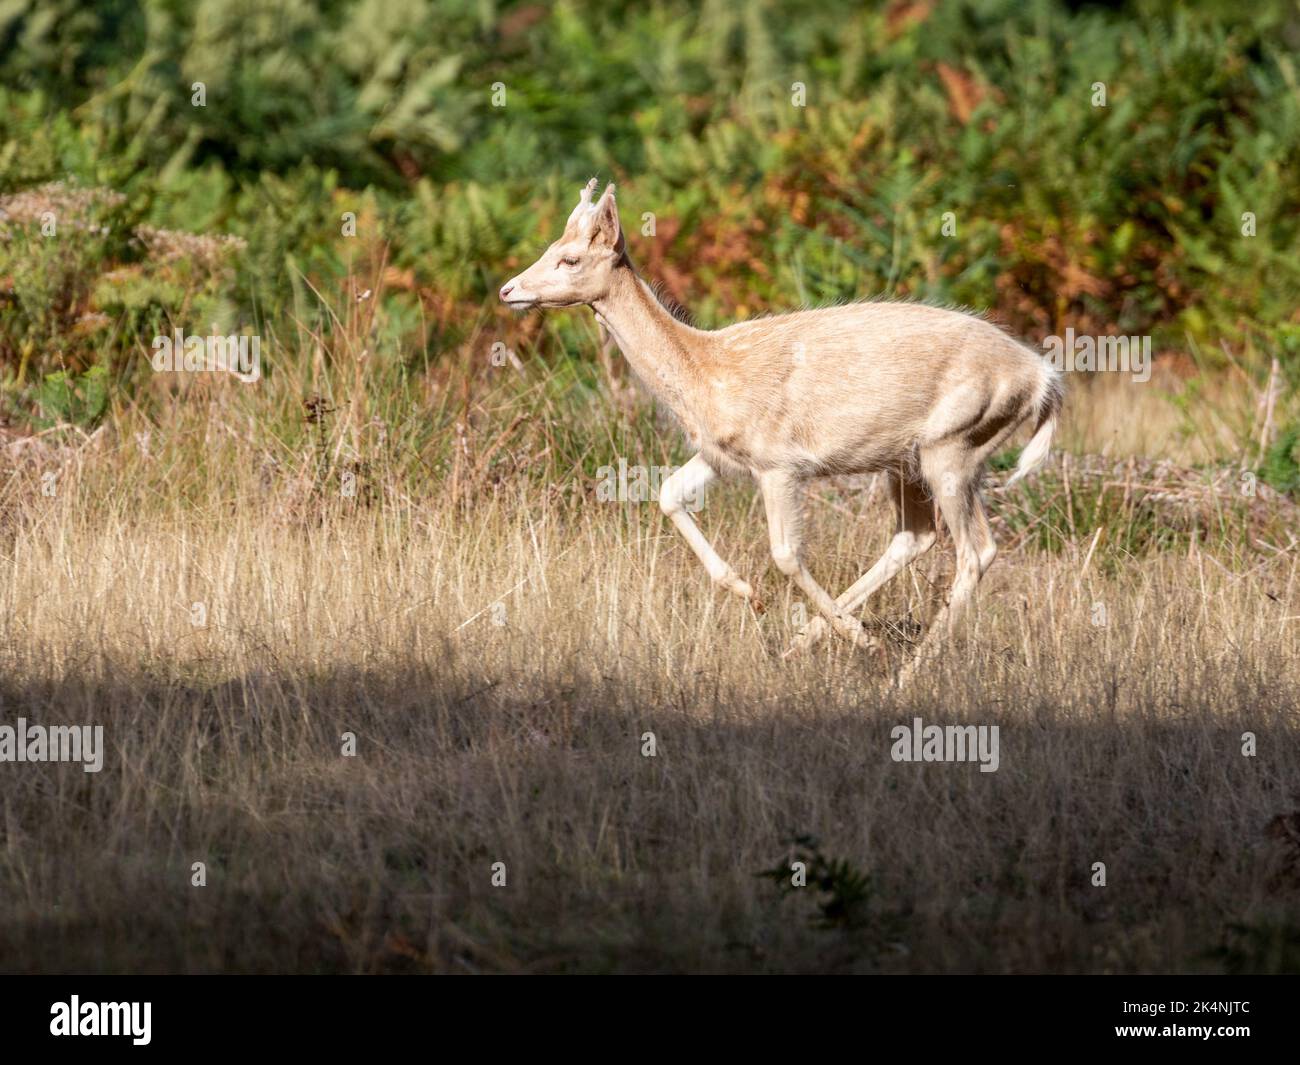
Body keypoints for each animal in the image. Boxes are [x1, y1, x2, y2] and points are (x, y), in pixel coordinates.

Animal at [500, 179, 1064, 681]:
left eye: (571, 259)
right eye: (550, 247)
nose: (509, 289)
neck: (706, 373)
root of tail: (1043, 380)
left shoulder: (779, 462)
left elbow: (786, 554)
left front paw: (856, 637)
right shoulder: (723, 455)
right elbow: (667, 494)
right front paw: (751, 596)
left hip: (955, 444)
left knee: (976, 551)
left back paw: (901, 668)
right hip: (907, 458)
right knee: (916, 535)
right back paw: (809, 643)